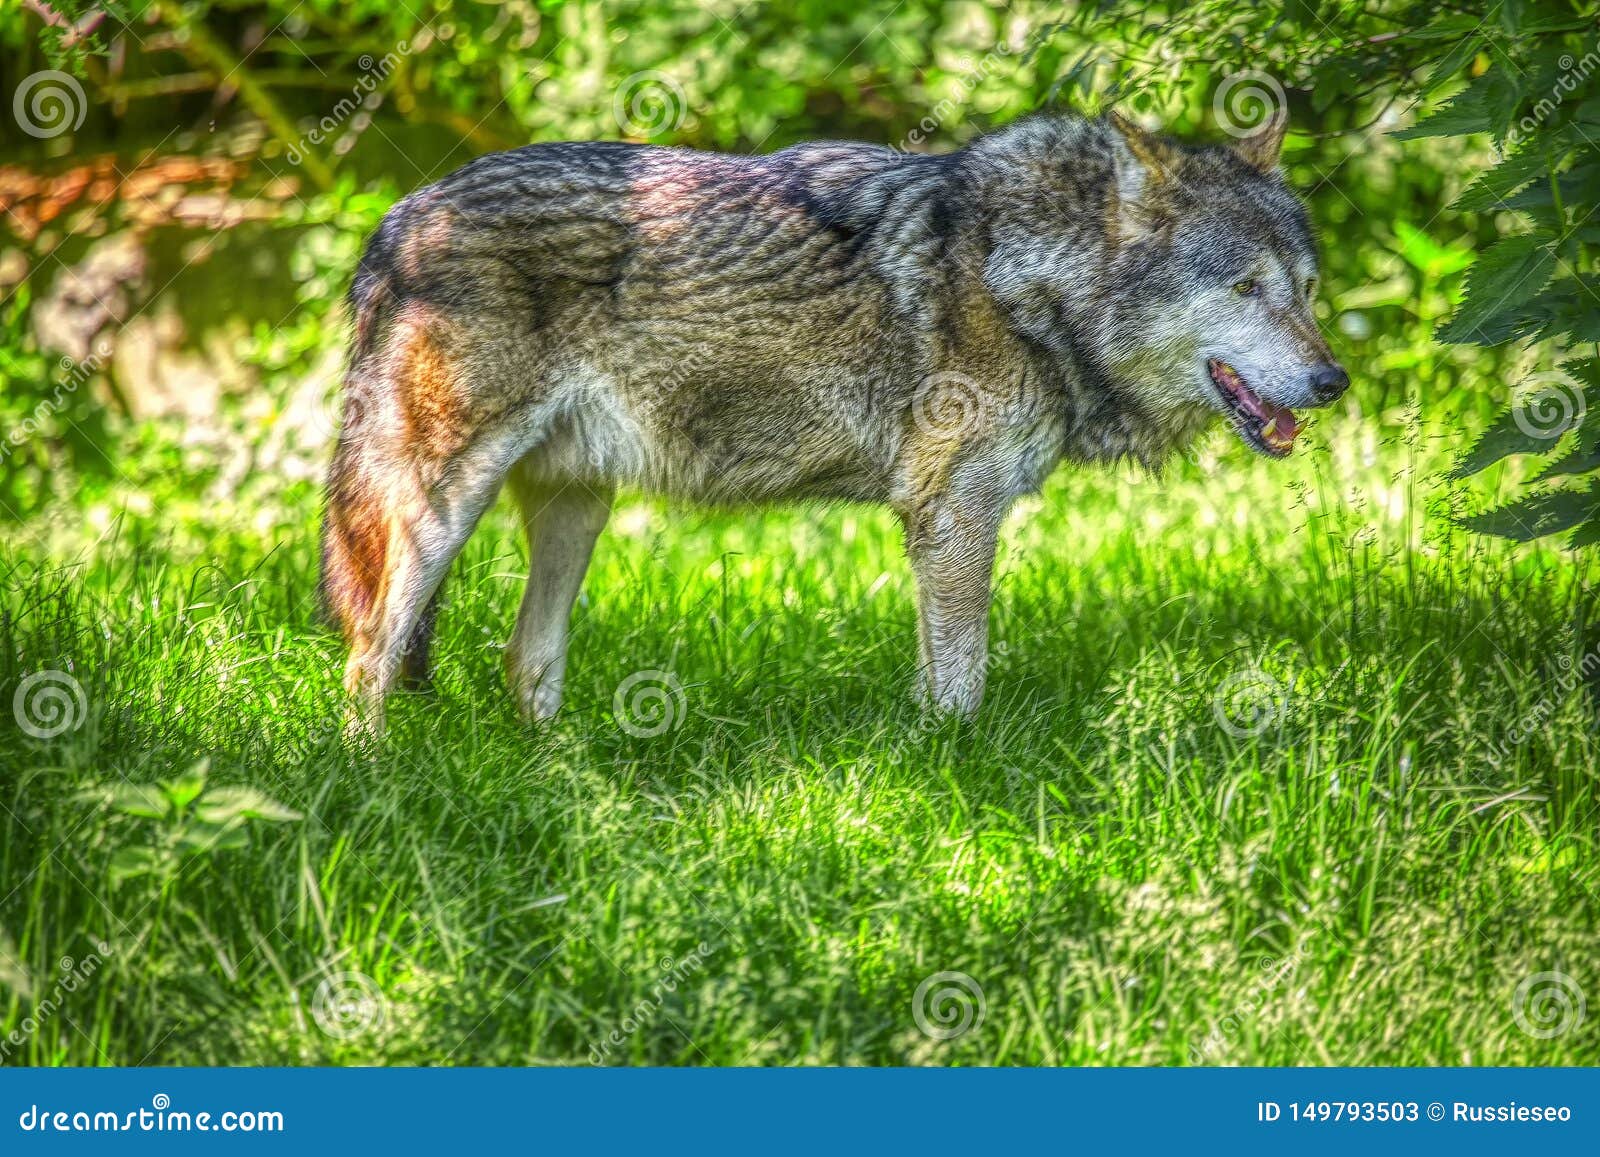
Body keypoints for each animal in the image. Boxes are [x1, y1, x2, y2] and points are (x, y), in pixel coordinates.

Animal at [319, 109, 1346, 732]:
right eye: (1245, 288)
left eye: (1304, 289)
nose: (1333, 379)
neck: (1025, 278)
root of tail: (395, 220)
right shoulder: (955, 512)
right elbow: (962, 681)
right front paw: (958, 773)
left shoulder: (944, 518)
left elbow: (940, 673)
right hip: (439, 512)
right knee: (369, 658)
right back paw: (376, 775)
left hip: (576, 512)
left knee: (521, 659)